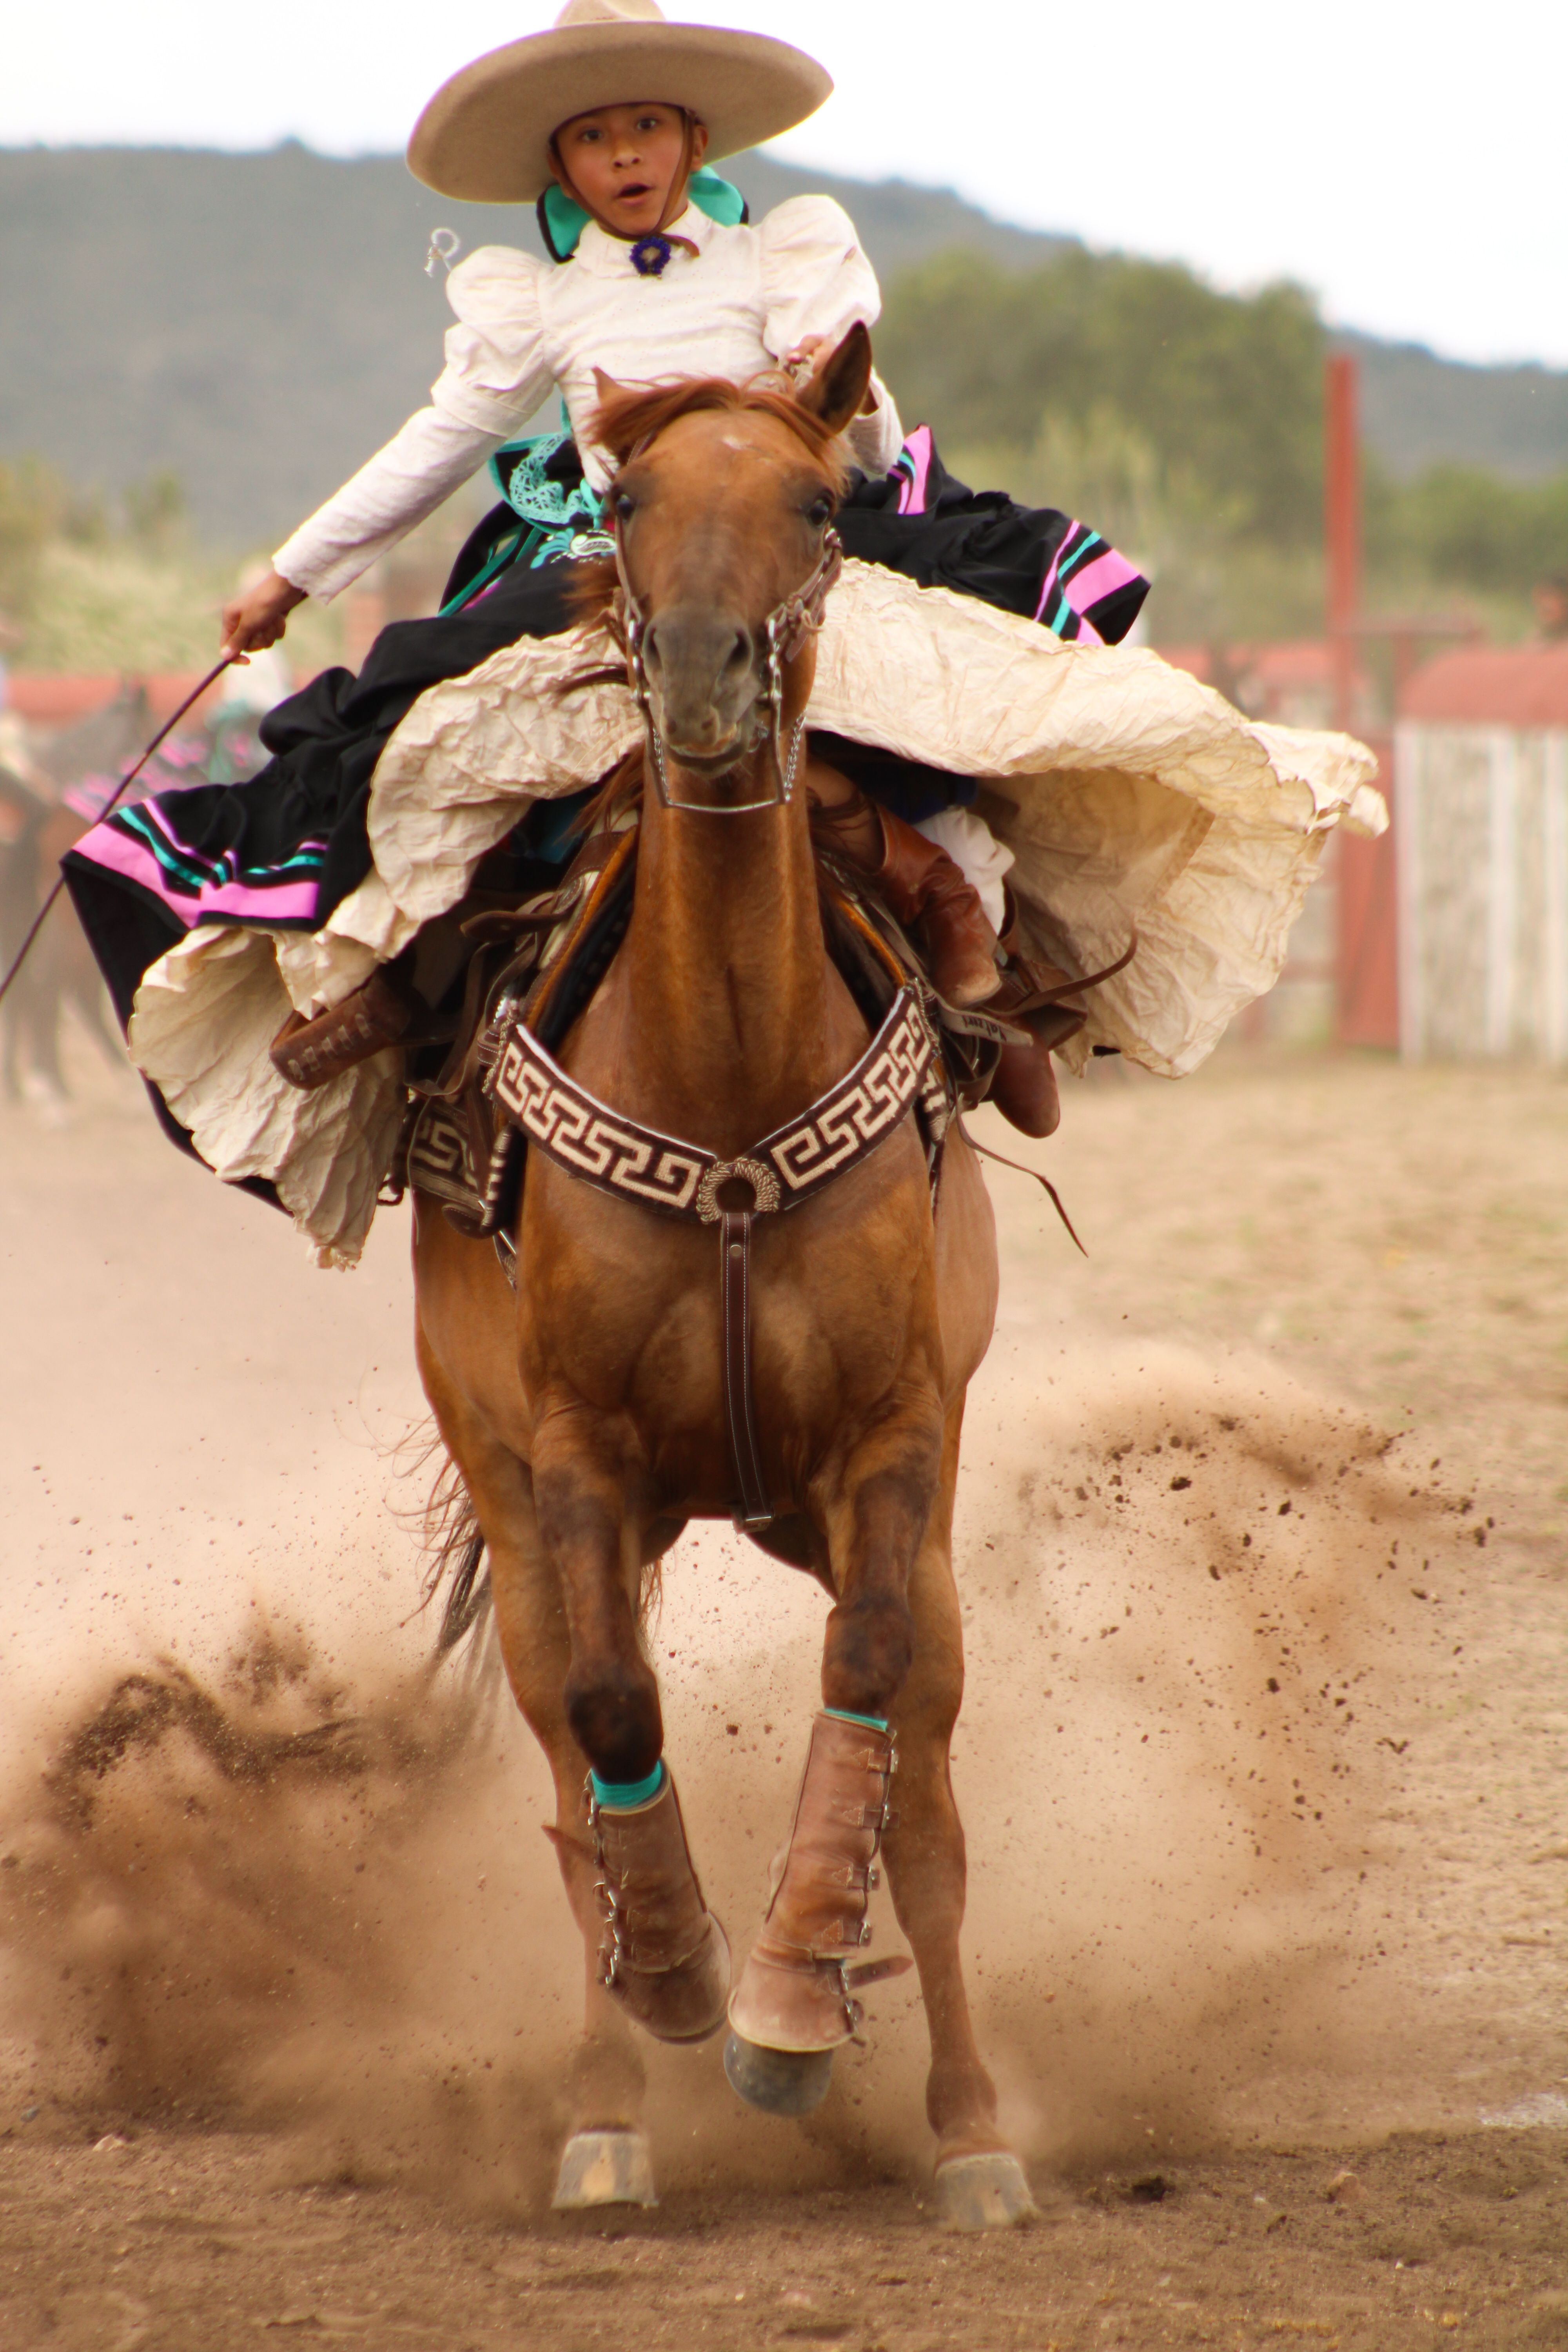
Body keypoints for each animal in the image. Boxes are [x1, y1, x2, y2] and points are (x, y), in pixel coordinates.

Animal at [413, 325, 1035, 2231]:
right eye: (621, 503)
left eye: (821, 502)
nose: (700, 674)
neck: (734, 1098)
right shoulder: (575, 1455)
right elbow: (613, 1710)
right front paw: (685, 1980)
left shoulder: (895, 1441)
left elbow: (882, 1693)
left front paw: (785, 2009)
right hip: (529, 1505)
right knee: (566, 1774)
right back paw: (606, 2103)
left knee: (927, 1781)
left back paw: (965, 2118)